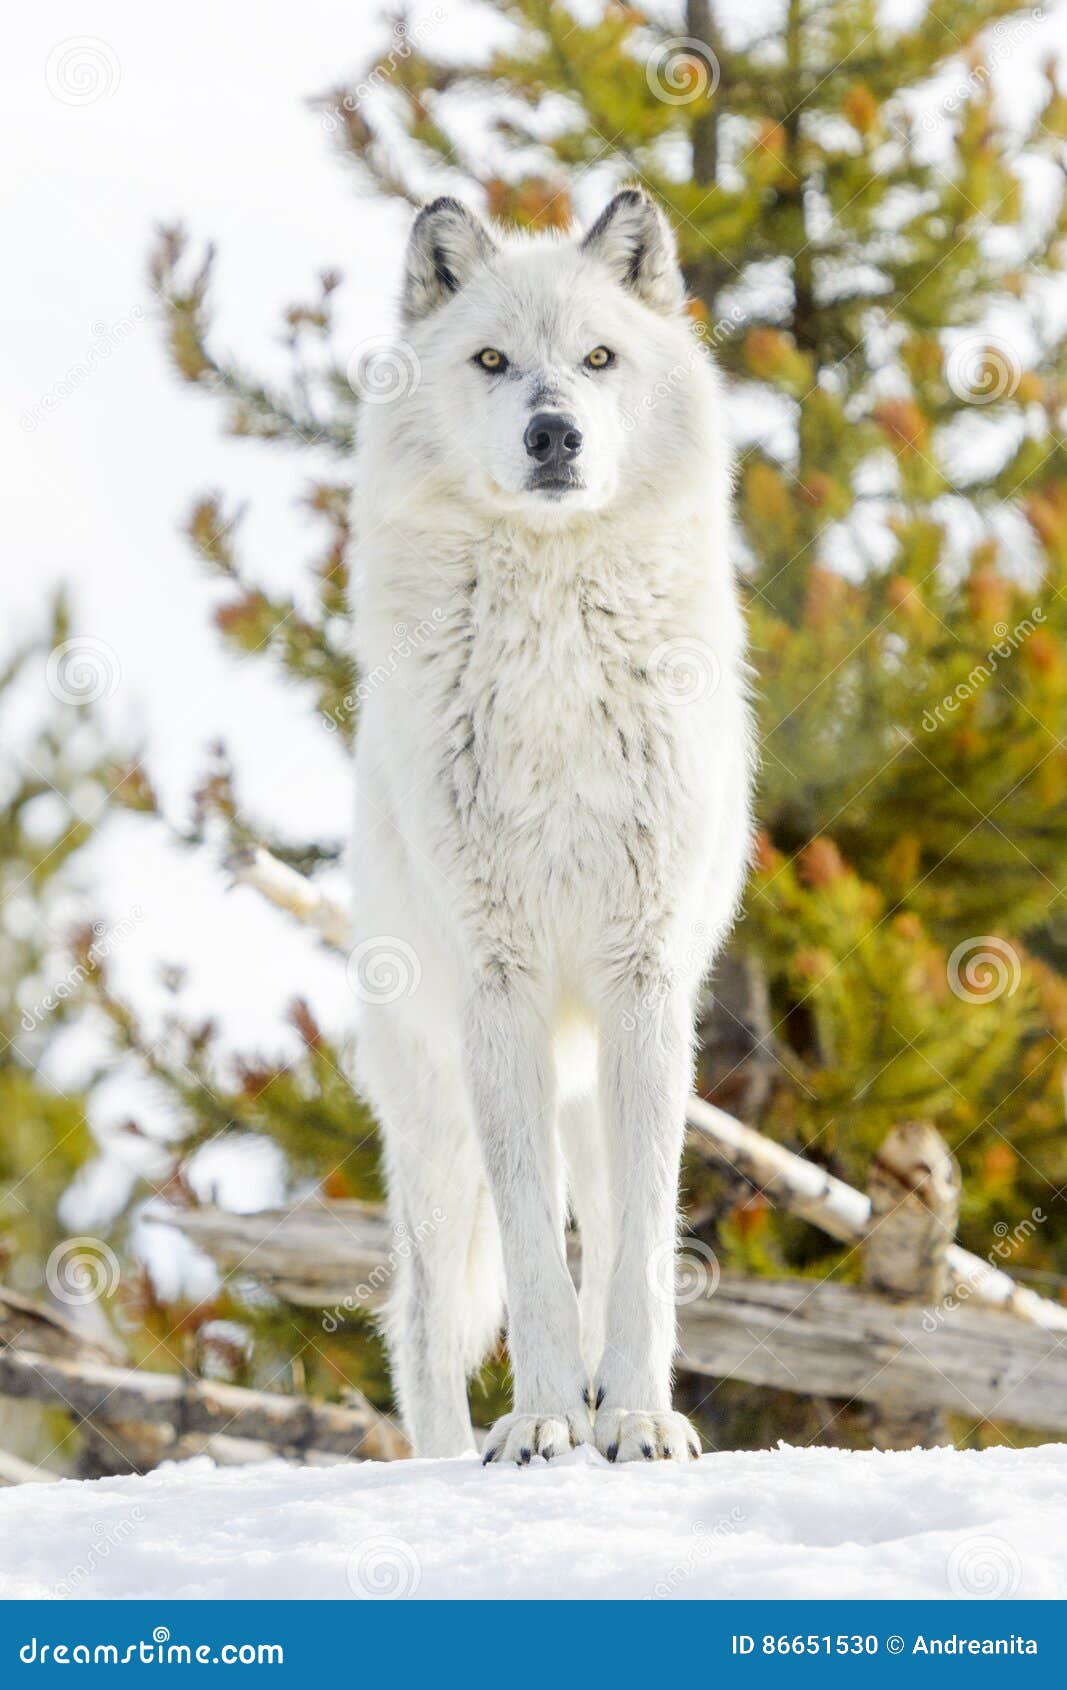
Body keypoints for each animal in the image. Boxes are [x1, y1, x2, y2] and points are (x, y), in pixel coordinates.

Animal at [350, 187, 753, 1464]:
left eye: (597, 359)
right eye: (491, 360)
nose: (553, 435)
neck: (554, 646)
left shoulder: (645, 983)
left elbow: (637, 1252)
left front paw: (634, 1417)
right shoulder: (499, 989)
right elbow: (533, 1254)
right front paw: (537, 1424)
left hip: (596, 1078)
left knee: (612, 1229)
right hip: (431, 1124)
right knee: (422, 1324)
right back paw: (447, 1458)